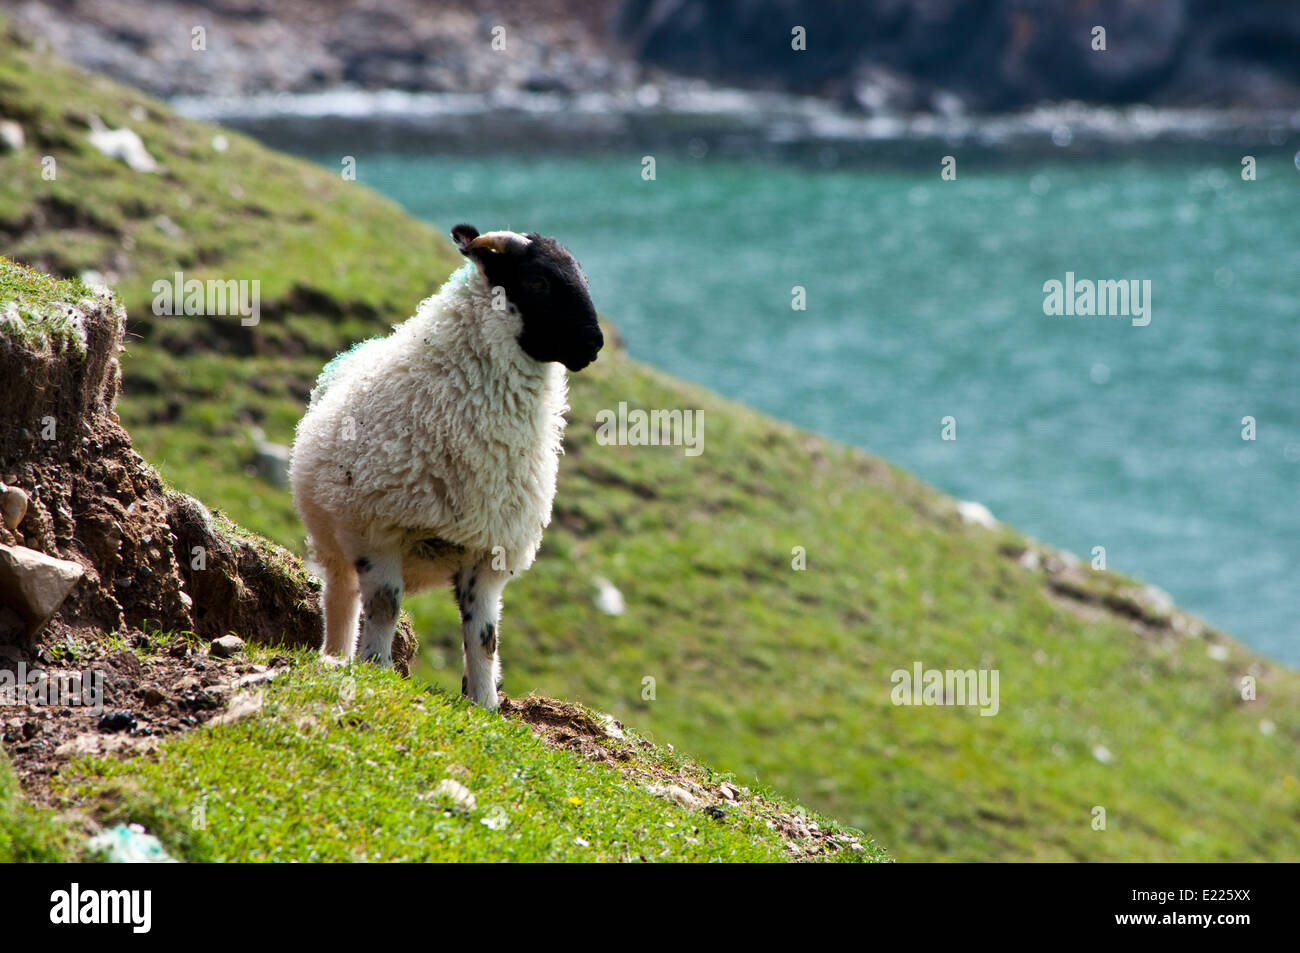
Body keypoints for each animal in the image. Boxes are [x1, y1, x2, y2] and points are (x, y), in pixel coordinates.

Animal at [289, 224, 603, 708]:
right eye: (538, 282)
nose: (594, 344)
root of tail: (361, 347)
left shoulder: (488, 551)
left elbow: (484, 636)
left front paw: (485, 704)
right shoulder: (378, 529)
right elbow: (385, 606)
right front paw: (376, 668)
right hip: (332, 534)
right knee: (342, 596)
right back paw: (336, 655)